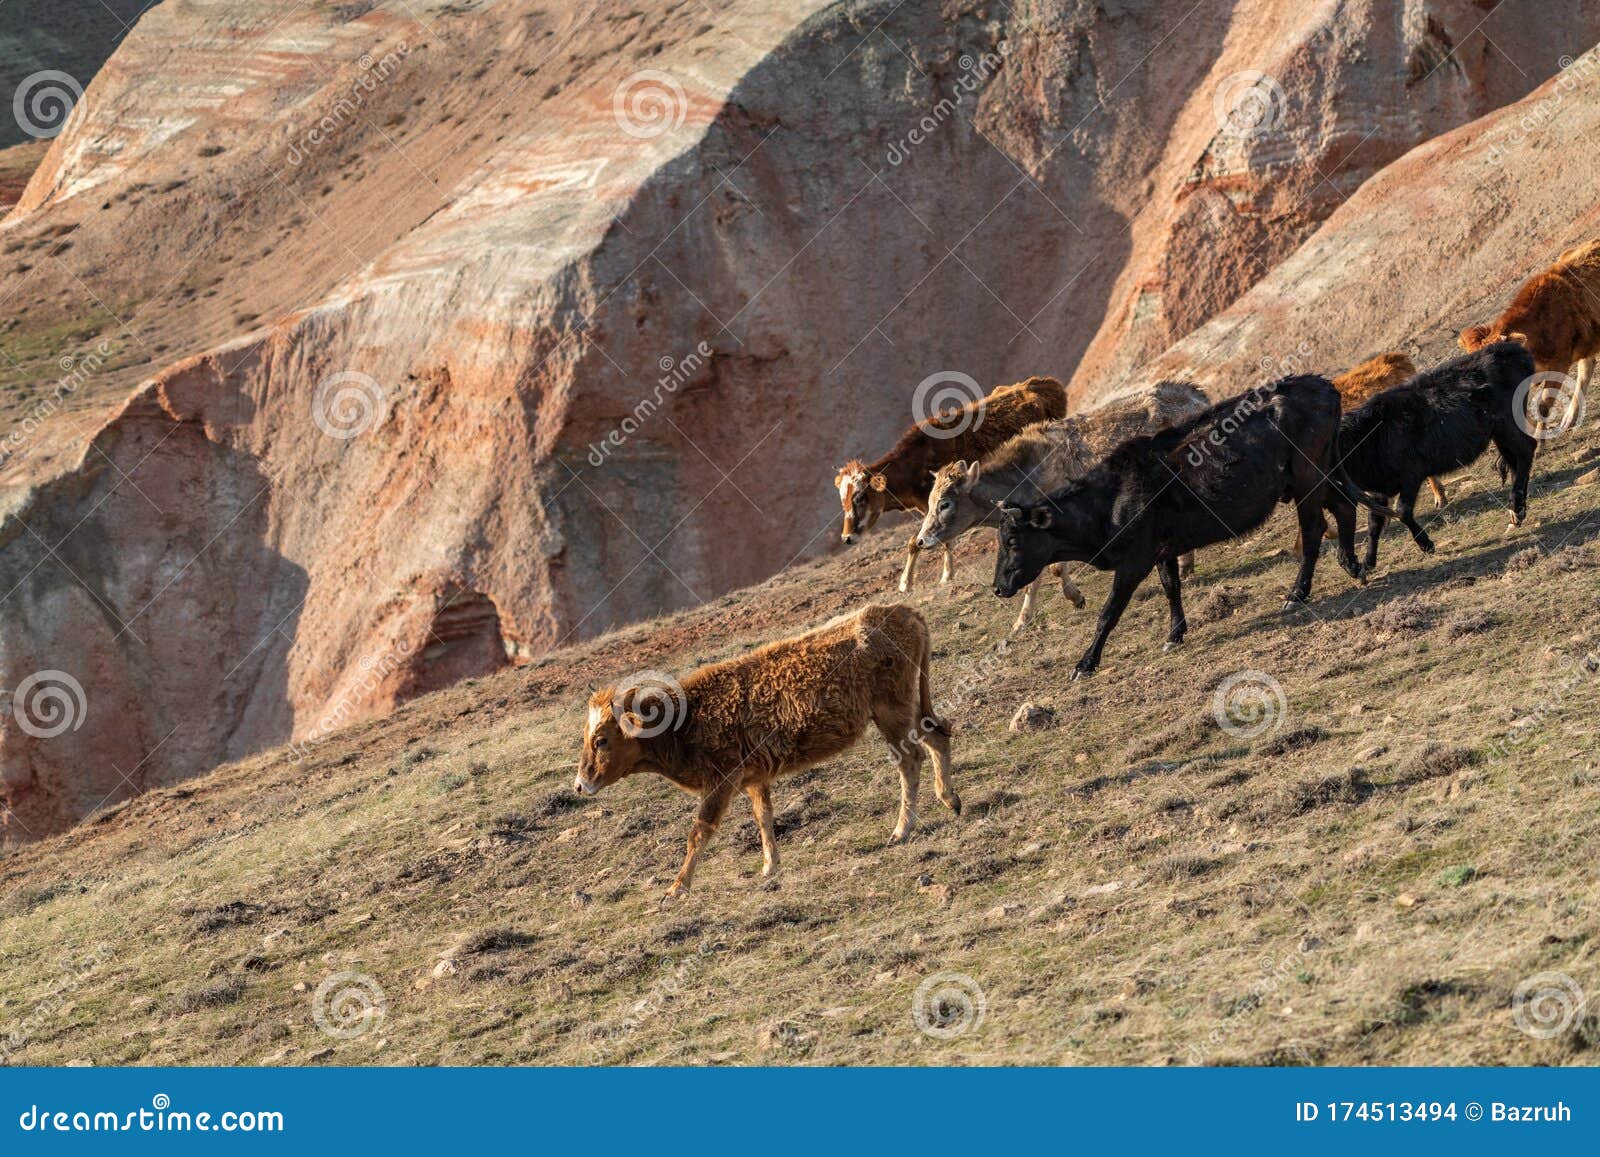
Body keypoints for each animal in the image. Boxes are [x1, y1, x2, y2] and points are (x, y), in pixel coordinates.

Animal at [575, 604, 958, 898]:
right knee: (938, 735)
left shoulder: (721, 780)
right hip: (910, 708)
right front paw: (769, 866)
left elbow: (699, 831)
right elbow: (764, 818)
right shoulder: (754, 778)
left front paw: (677, 888)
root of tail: (899, 611)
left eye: (601, 740)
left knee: (910, 759)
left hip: (892, 711)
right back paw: (949, 799)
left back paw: (902, 828)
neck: (686, 720)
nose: (579, 784)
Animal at [835, 375, 1066, 592]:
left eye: (860, 497)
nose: (846, 537)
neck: (915, 465)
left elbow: (923, 541)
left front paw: (929, 578)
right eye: (843, 500)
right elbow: (922, 540)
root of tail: (1043, 382)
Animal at [914, 380, 1210, 632]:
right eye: (929, 502)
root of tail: (1193, 393)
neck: (1026, 473)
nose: (921, 540)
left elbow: (1047, 569)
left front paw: (1038, 612)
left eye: (945, 503)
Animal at [991, 375, 1388, 679]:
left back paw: (1298, 593)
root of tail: (1322, 384)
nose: (997, 587)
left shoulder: (1133, 561)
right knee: (1345, 506)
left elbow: (1108, 613)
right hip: (1321, 475)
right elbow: (1172, 588)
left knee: (1314, 529)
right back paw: (1353, 565)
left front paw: (1085, 664)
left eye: (1012, 541)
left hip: (1309, 479)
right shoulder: (1162, 550)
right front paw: (1175, 634)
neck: (1109, 499)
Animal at [1338, 342, 1538, 571]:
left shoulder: (1411, 477)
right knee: (1515, 461)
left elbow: (1402, 511)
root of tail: (1511, 348)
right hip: (1499, 434)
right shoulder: (1380, 489)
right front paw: (1367, 562)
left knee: (1526, 450)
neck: (1367, 435)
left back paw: (1516, 507)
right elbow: (1375, 522)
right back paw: (1516, 514)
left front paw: (1426, 544)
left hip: (1508, 425)